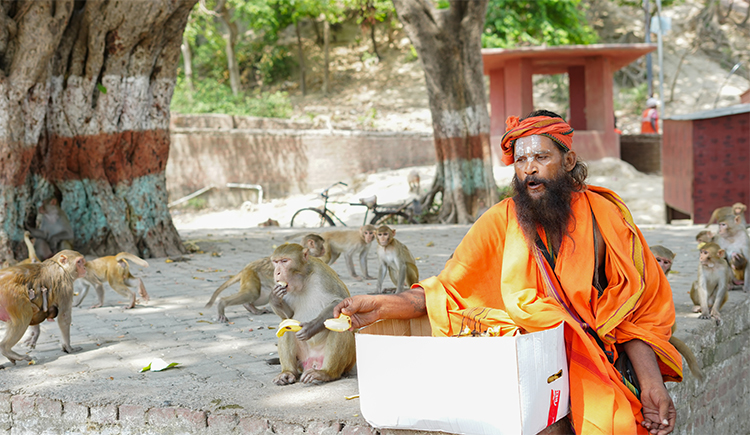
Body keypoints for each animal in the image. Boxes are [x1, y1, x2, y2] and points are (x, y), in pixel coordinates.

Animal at [269, 243, 356, 385]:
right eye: (275, 262)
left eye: (285, 261)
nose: (277, 272)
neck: (303, 278)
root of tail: (313, 362)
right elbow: (288, 316)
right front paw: (274, 298)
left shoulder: (323, 275)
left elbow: (339, 303)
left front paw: (310, 328)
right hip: (302, 360)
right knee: (285, 326)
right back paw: (288, 373)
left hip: (347, 362)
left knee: (338, 324)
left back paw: (326, 373)